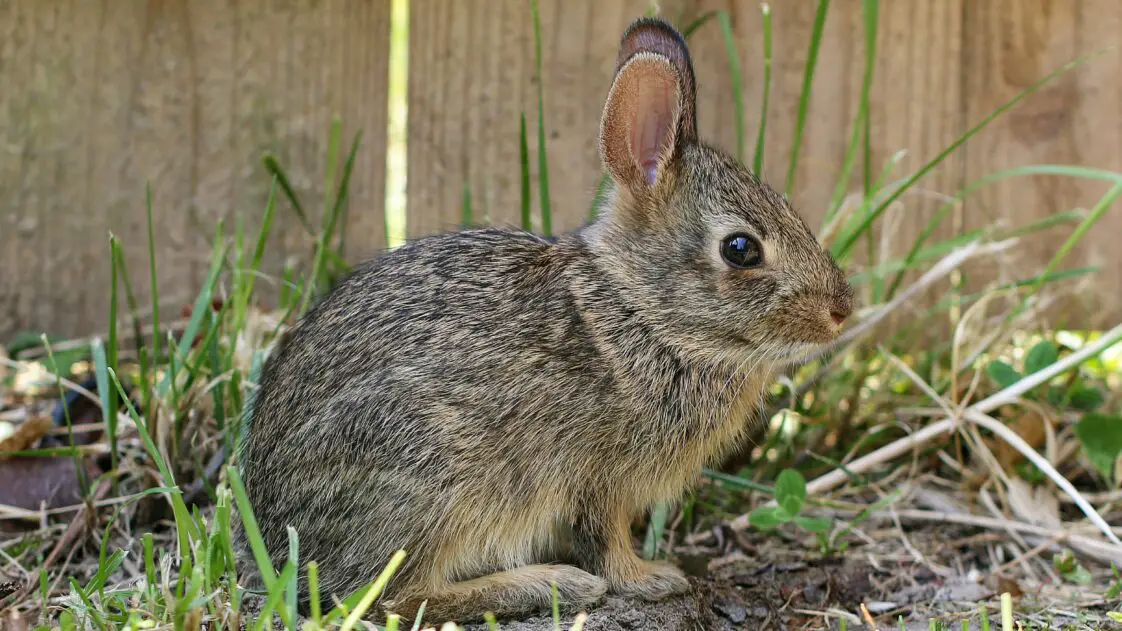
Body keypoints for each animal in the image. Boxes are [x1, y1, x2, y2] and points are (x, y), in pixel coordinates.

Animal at [234, 15, 854, 627]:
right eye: (741, 249)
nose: (840, 312)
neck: (640, 313)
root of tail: (274, 533)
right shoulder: (598, 478)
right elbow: (605, 543)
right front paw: (652, 579)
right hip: (430, 473)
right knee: (393, 596)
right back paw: (548, 584)